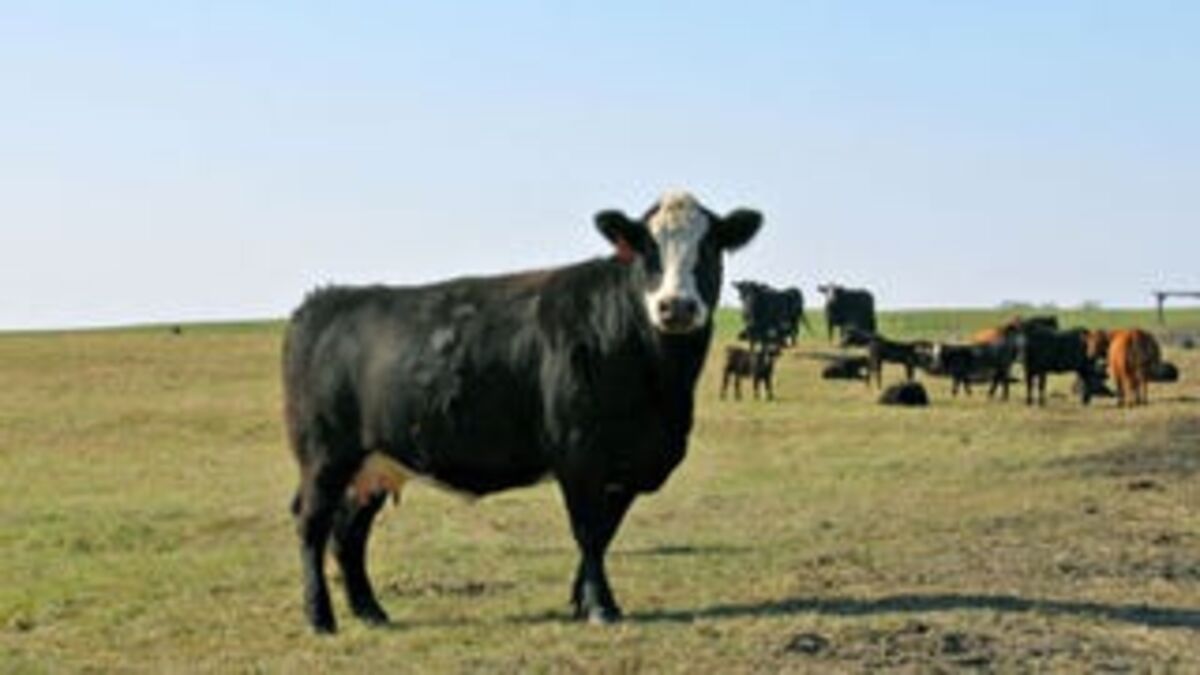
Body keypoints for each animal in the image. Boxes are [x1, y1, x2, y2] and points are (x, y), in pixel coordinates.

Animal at [281, 192, 761, 633]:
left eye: (709, 247)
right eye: (645, 248)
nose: (675, 306)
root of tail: (324, 300)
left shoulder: (626, 466)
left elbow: (605, 534)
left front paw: (582, 601)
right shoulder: (579, 456)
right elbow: (588, 532)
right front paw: (600, 607)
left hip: (375, 463)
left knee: (349, 532)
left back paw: (370, 611)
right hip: (325, 456)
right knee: (312, 524)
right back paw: (320, 617)